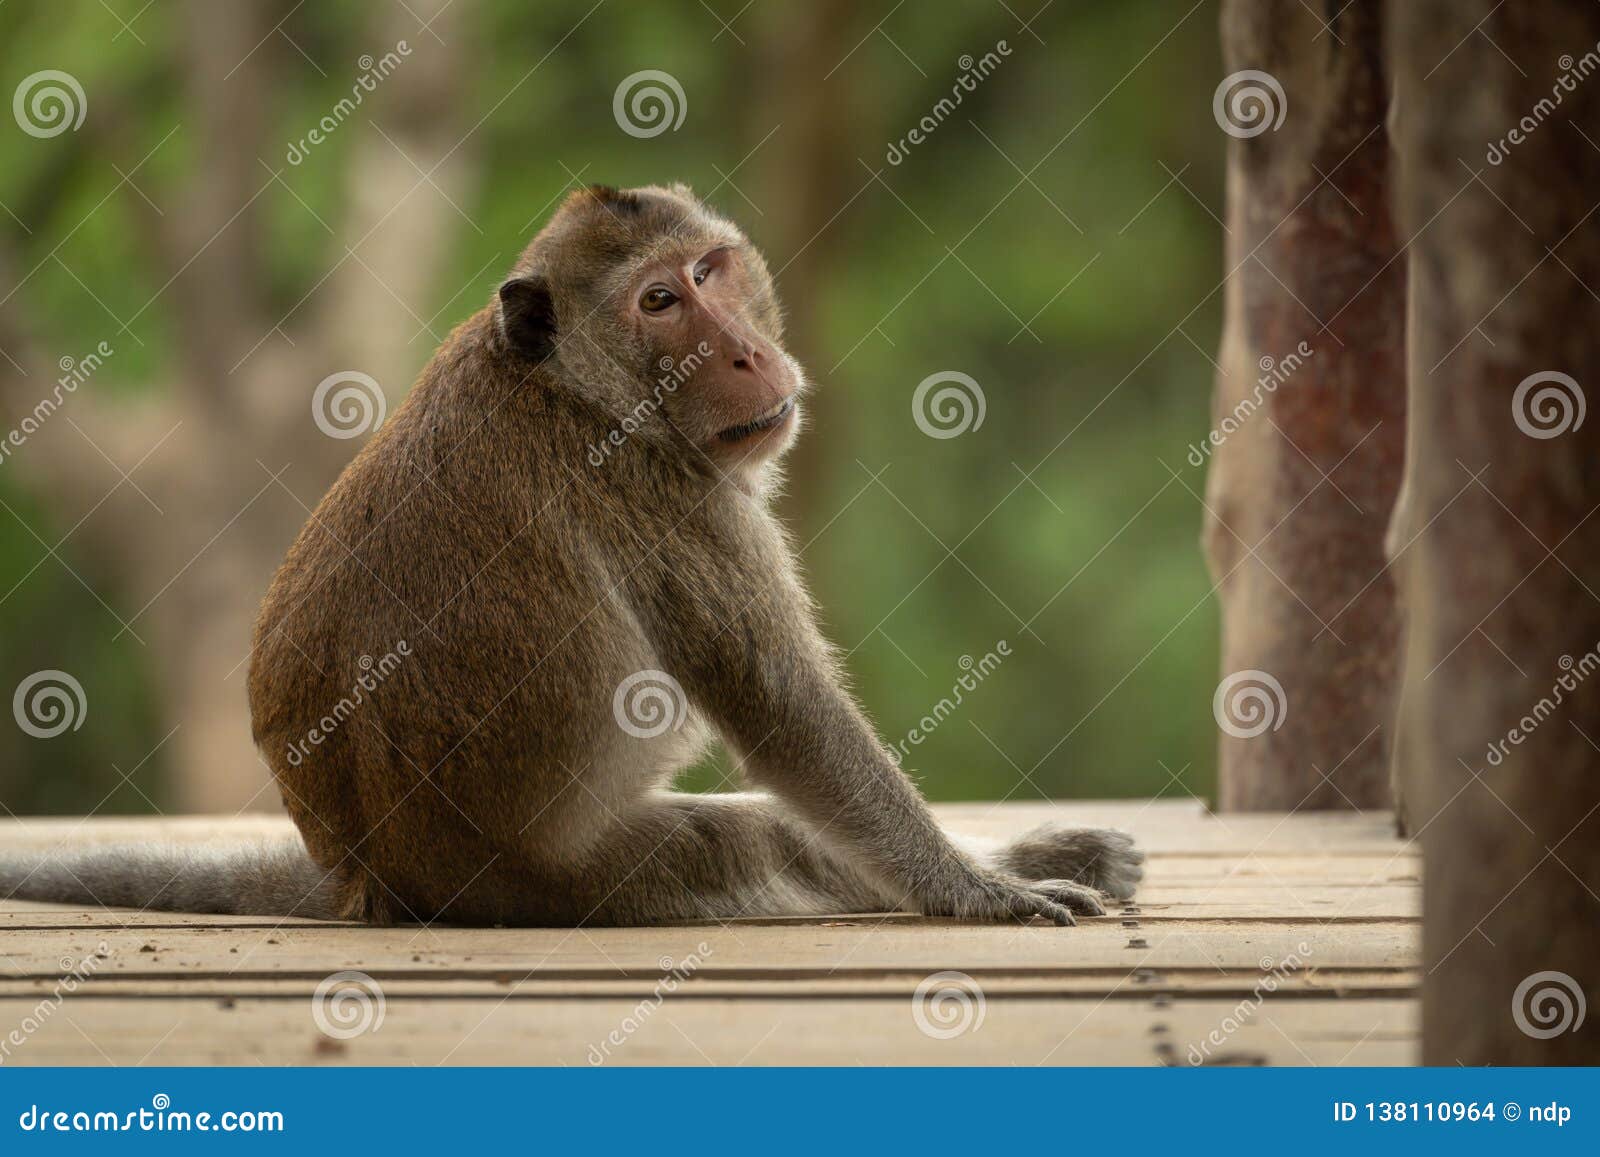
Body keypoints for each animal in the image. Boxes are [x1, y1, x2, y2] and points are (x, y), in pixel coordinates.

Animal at [1, 184, 1142, 927]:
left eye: (709, 270)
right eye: (658, 302)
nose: (745, 352)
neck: (572, 384)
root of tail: (371, 873)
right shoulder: (672, 499)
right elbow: (781, 708)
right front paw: (978, 889)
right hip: (570, 878)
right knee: (754, 843)